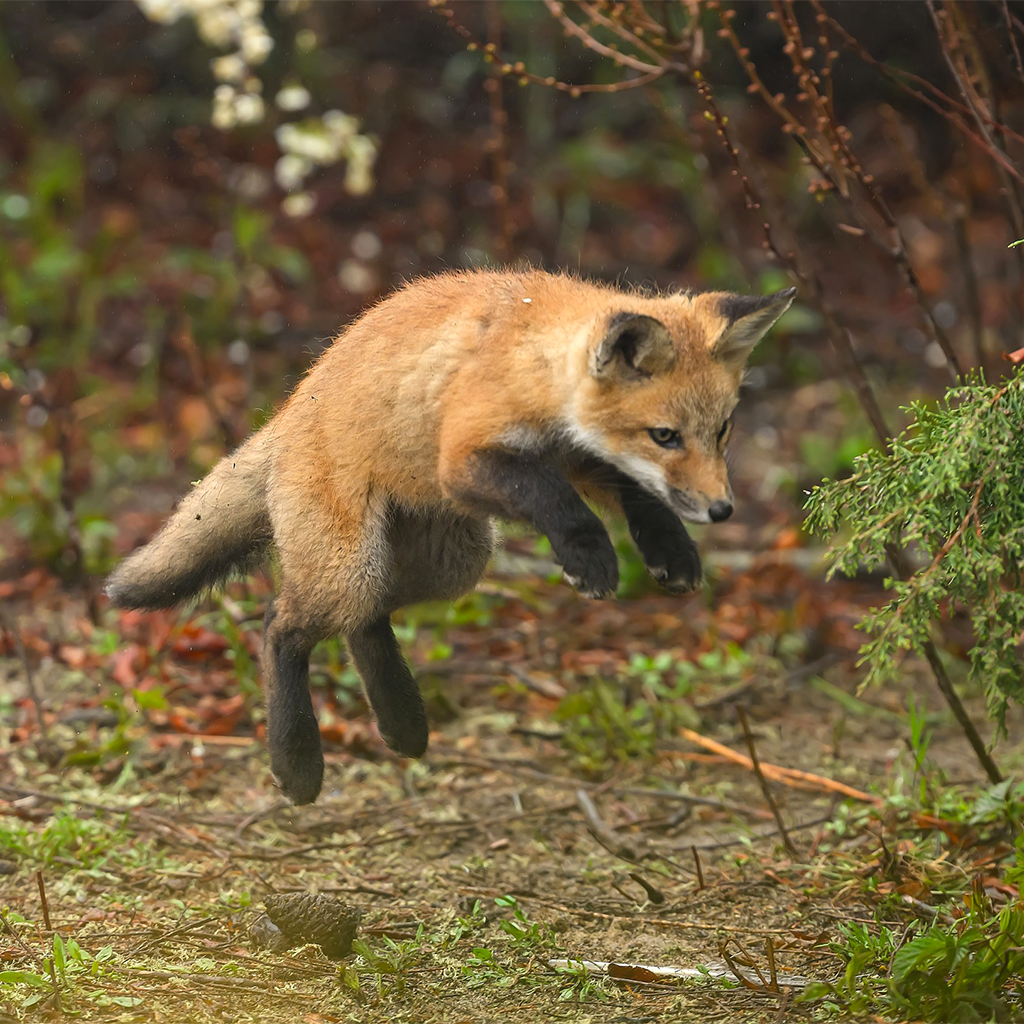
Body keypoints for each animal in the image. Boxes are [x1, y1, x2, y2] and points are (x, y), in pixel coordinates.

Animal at [106, 269, 795, 805]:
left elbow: (637, 495)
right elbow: (558, 501)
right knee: (282, 623)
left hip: (455, 563)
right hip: (352, 565)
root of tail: (288, 412)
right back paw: (298, 761)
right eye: (664, 436)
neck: (533, 357)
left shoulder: (577, 455)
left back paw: (401, 722)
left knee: (368, 620)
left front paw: (670, 549)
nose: (723, 510)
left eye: (724, 429)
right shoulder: (467, 459)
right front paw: (590, 556)